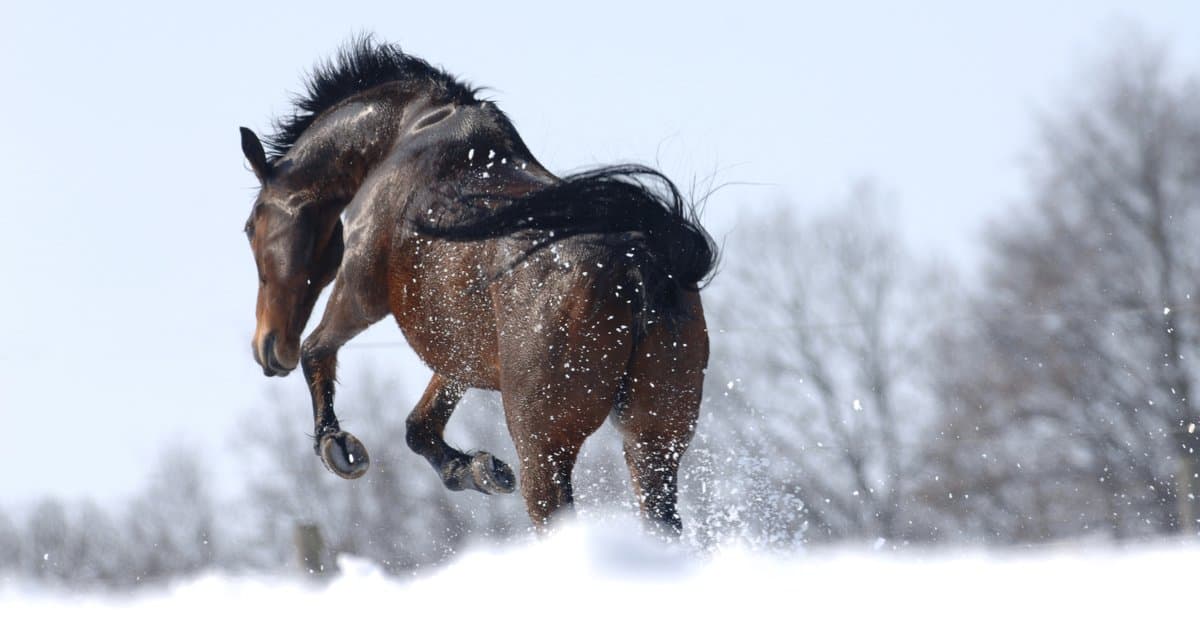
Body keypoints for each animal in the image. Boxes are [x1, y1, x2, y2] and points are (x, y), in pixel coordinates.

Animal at [239, 37, 717, 533]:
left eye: (250, 226)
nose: (266, 347)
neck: (406, 137)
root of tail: (638, 266)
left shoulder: (361, 289)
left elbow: (317, 349)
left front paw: (337, 446)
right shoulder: (461, 347)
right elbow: (421, 425)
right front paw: (477, 469)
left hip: (545, 445)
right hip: (654, 439)